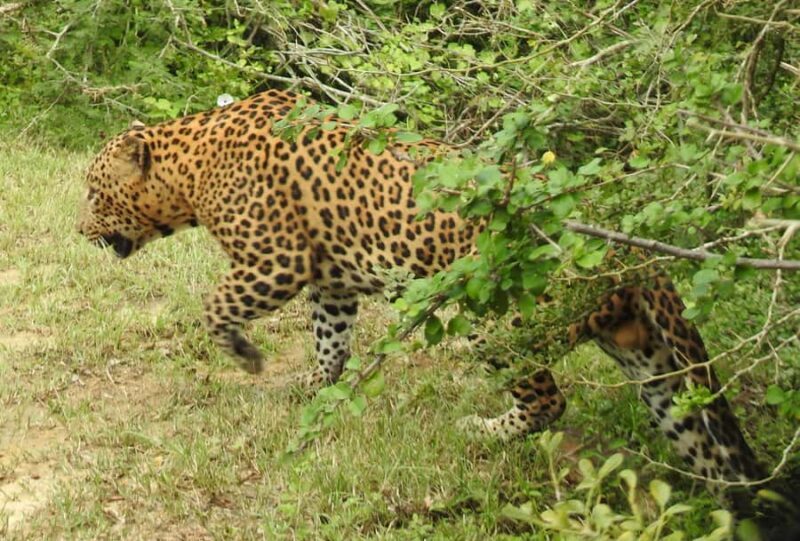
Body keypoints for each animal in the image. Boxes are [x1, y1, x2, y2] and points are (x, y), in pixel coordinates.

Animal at [77, 89, 763, 488]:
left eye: (91, 191)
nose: (78, 230)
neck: (188, 168)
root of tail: (630, 249)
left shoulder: (277, 261)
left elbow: (215, 304)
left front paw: (245, 356)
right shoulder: (330, 278)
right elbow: (330, 340)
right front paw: (313, 386)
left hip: (505, 326)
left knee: (548, 401)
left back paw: (483, 430)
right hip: (655, 367)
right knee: (706, 448)